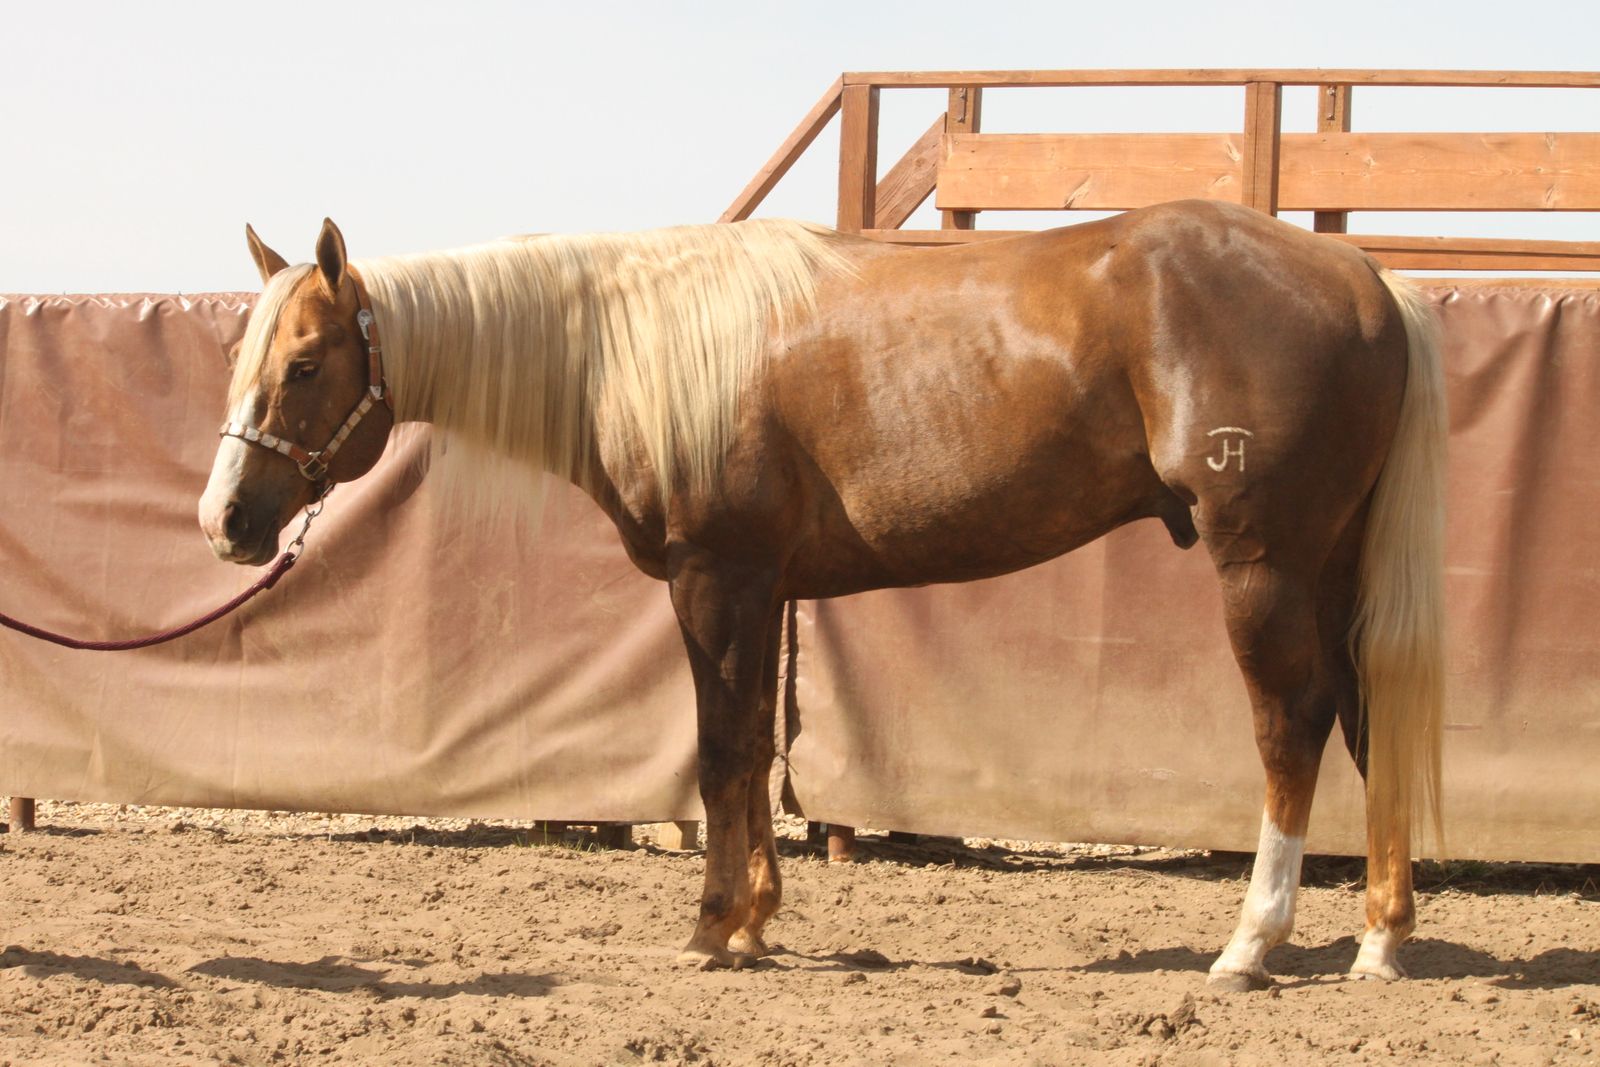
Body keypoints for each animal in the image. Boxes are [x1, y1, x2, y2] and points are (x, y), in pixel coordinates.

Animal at [198, 199, 1445, 989]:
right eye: (243, 362)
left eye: (303, 365)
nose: (226, 519)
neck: (634, 350)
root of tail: (1365, 277)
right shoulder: (763, 590)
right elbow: (753, 744)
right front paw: (756, 919)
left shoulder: (714, 576)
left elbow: (718, 749)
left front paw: (712, 927)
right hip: (1329, 566)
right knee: (1368, 714)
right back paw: (1380, 940)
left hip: (1260, 562)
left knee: (1292, 724)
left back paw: (1250, 944)